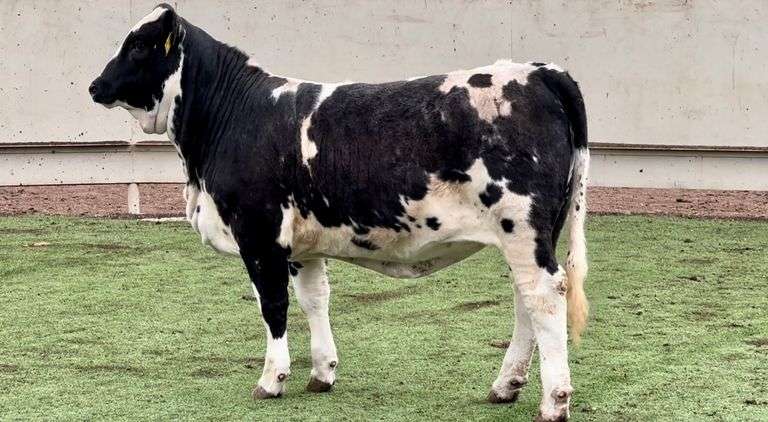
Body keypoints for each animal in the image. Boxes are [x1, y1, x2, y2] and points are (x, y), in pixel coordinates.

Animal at [89, 4, 589, 421]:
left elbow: (273, 305)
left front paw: (271, 380)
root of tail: (541, 71)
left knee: (545, 295)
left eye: (138, 46)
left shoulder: (260, 235)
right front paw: (322, 373)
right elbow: (314, 299)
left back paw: (553, 401)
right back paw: (506, 386)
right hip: (533, 232)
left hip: (520, 226)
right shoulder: (301, 245)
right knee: (527, 300)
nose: (95, 86)